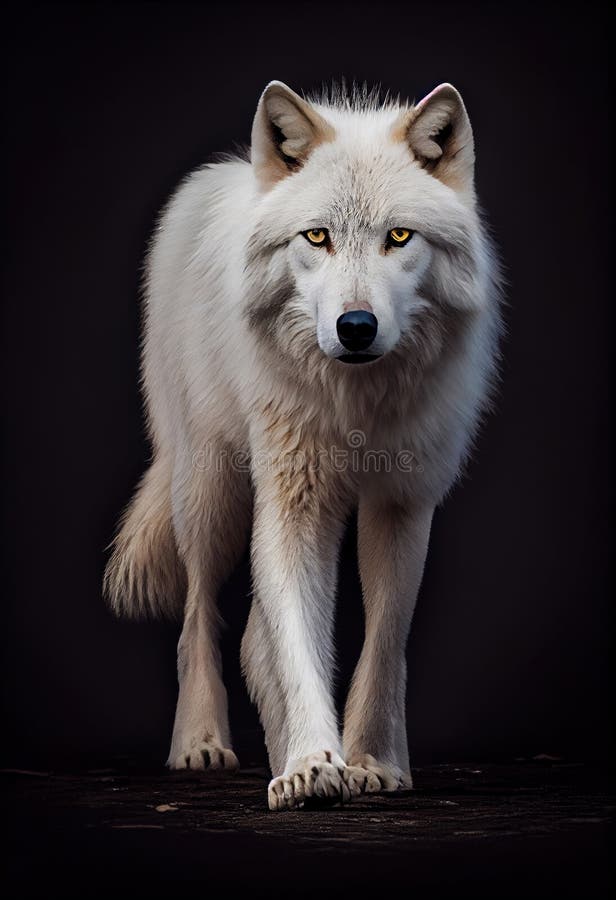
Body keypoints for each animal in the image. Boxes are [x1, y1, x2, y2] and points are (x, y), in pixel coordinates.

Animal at [104, 80, 502, 810]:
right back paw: (201, 743)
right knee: (201, 617)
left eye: (398, 236)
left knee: (251, 636)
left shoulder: (402, 505)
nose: (355, 326)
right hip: (211, 493)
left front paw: (373, 760)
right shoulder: (293, 502)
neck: (357, 403)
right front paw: (311, 762)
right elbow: (296, 640)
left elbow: (384, 640)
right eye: (317, 236)